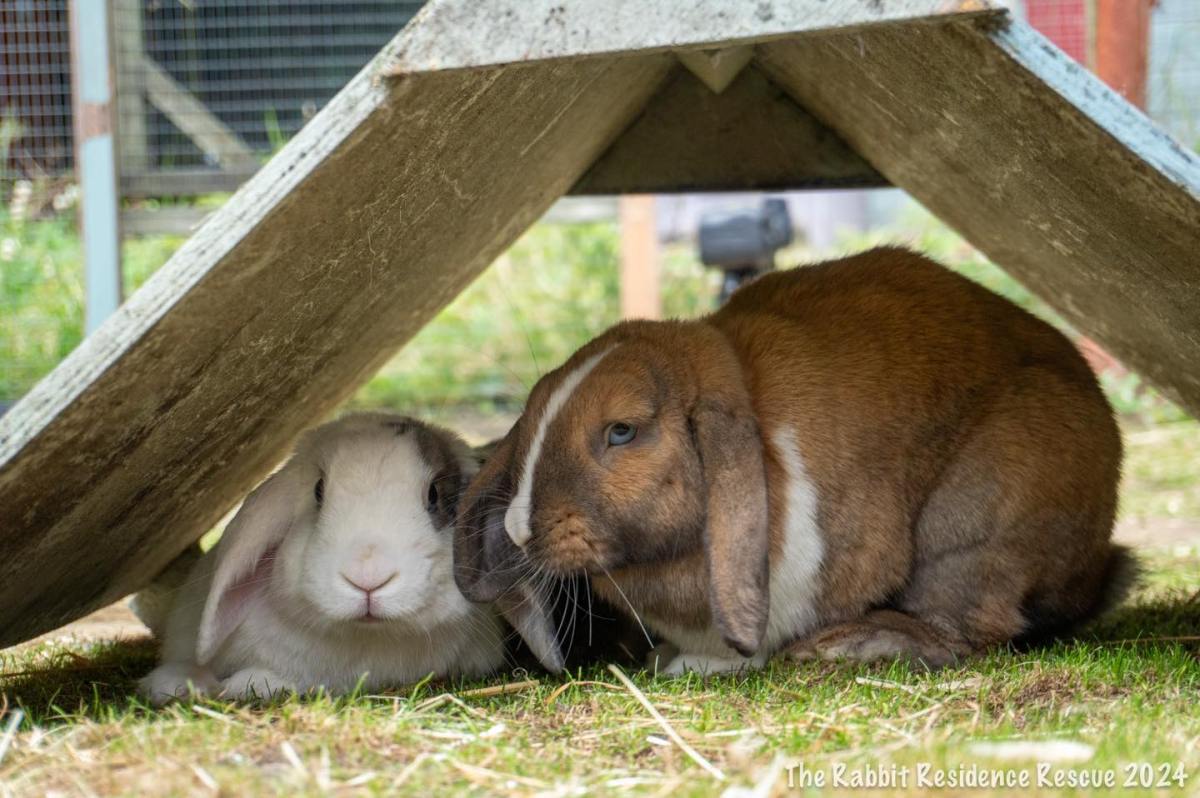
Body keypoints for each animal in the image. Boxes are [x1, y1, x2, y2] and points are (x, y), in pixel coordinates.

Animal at [139, 412, 507, 704]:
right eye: (318, 491)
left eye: (433, 495)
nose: (367, 577)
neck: (364, 636)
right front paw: (177, 683)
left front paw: (255, 682)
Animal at [454, 247, 1131, 675]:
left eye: (622, 431)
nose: (517, 527)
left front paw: (695, 664)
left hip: (976, 520)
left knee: (967, 629)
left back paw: (855, 646)